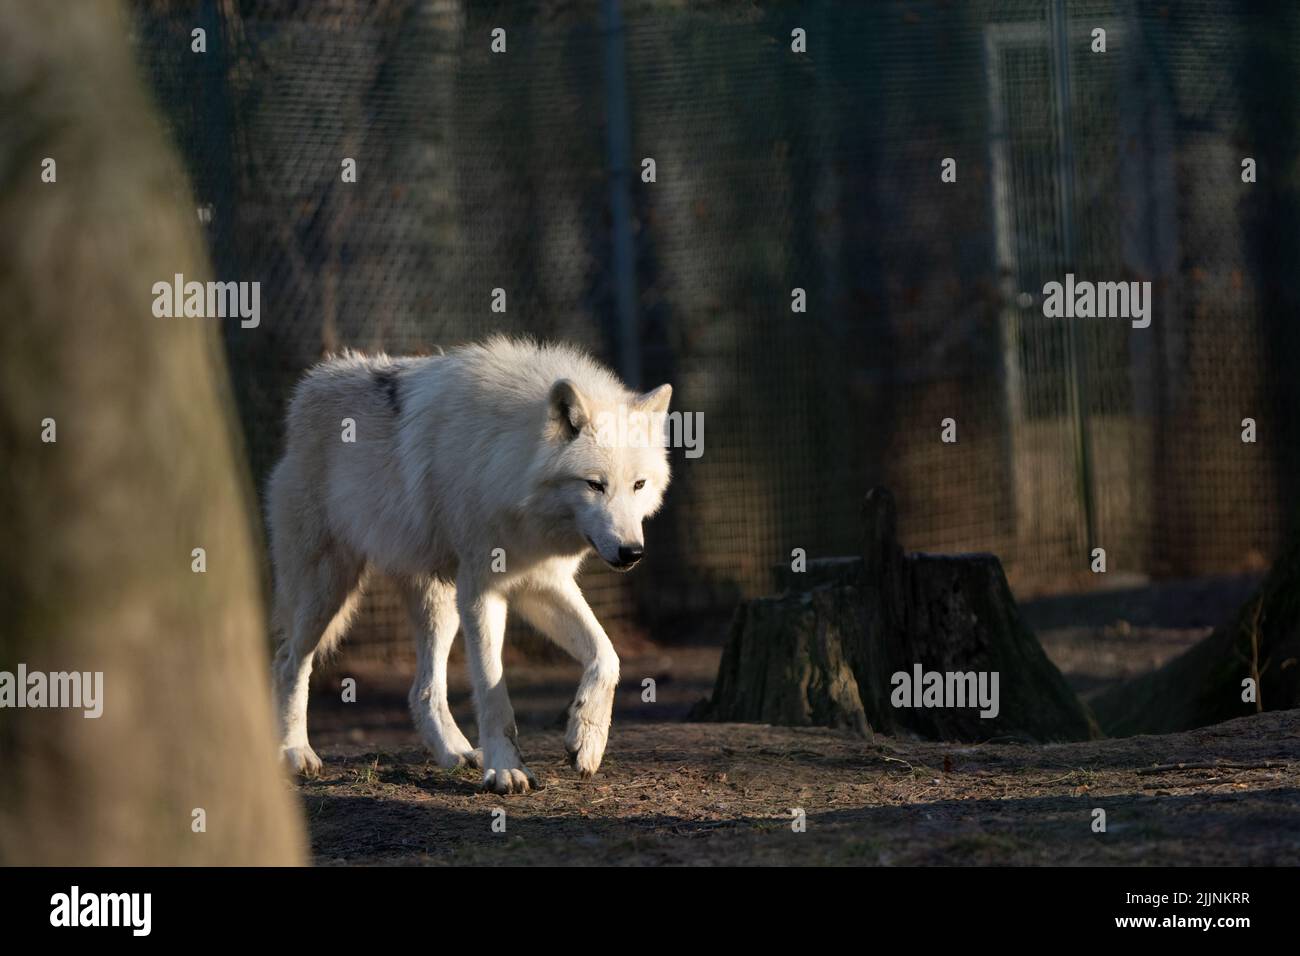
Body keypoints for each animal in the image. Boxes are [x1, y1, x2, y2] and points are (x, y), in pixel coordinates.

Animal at [267, 337, 672, 794]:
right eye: (594, 485)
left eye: (638, 485)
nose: (631, 552)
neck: (508, 468)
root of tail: (311, 383)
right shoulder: (483, 589)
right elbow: (493, 690)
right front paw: (506, 769)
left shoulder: (543, 582)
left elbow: (608, 656)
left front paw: (586, 740)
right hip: (326, 589)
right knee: (288, 662)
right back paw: (294, 751)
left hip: (439, 603)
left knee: (422, 690)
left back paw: (456, 754)